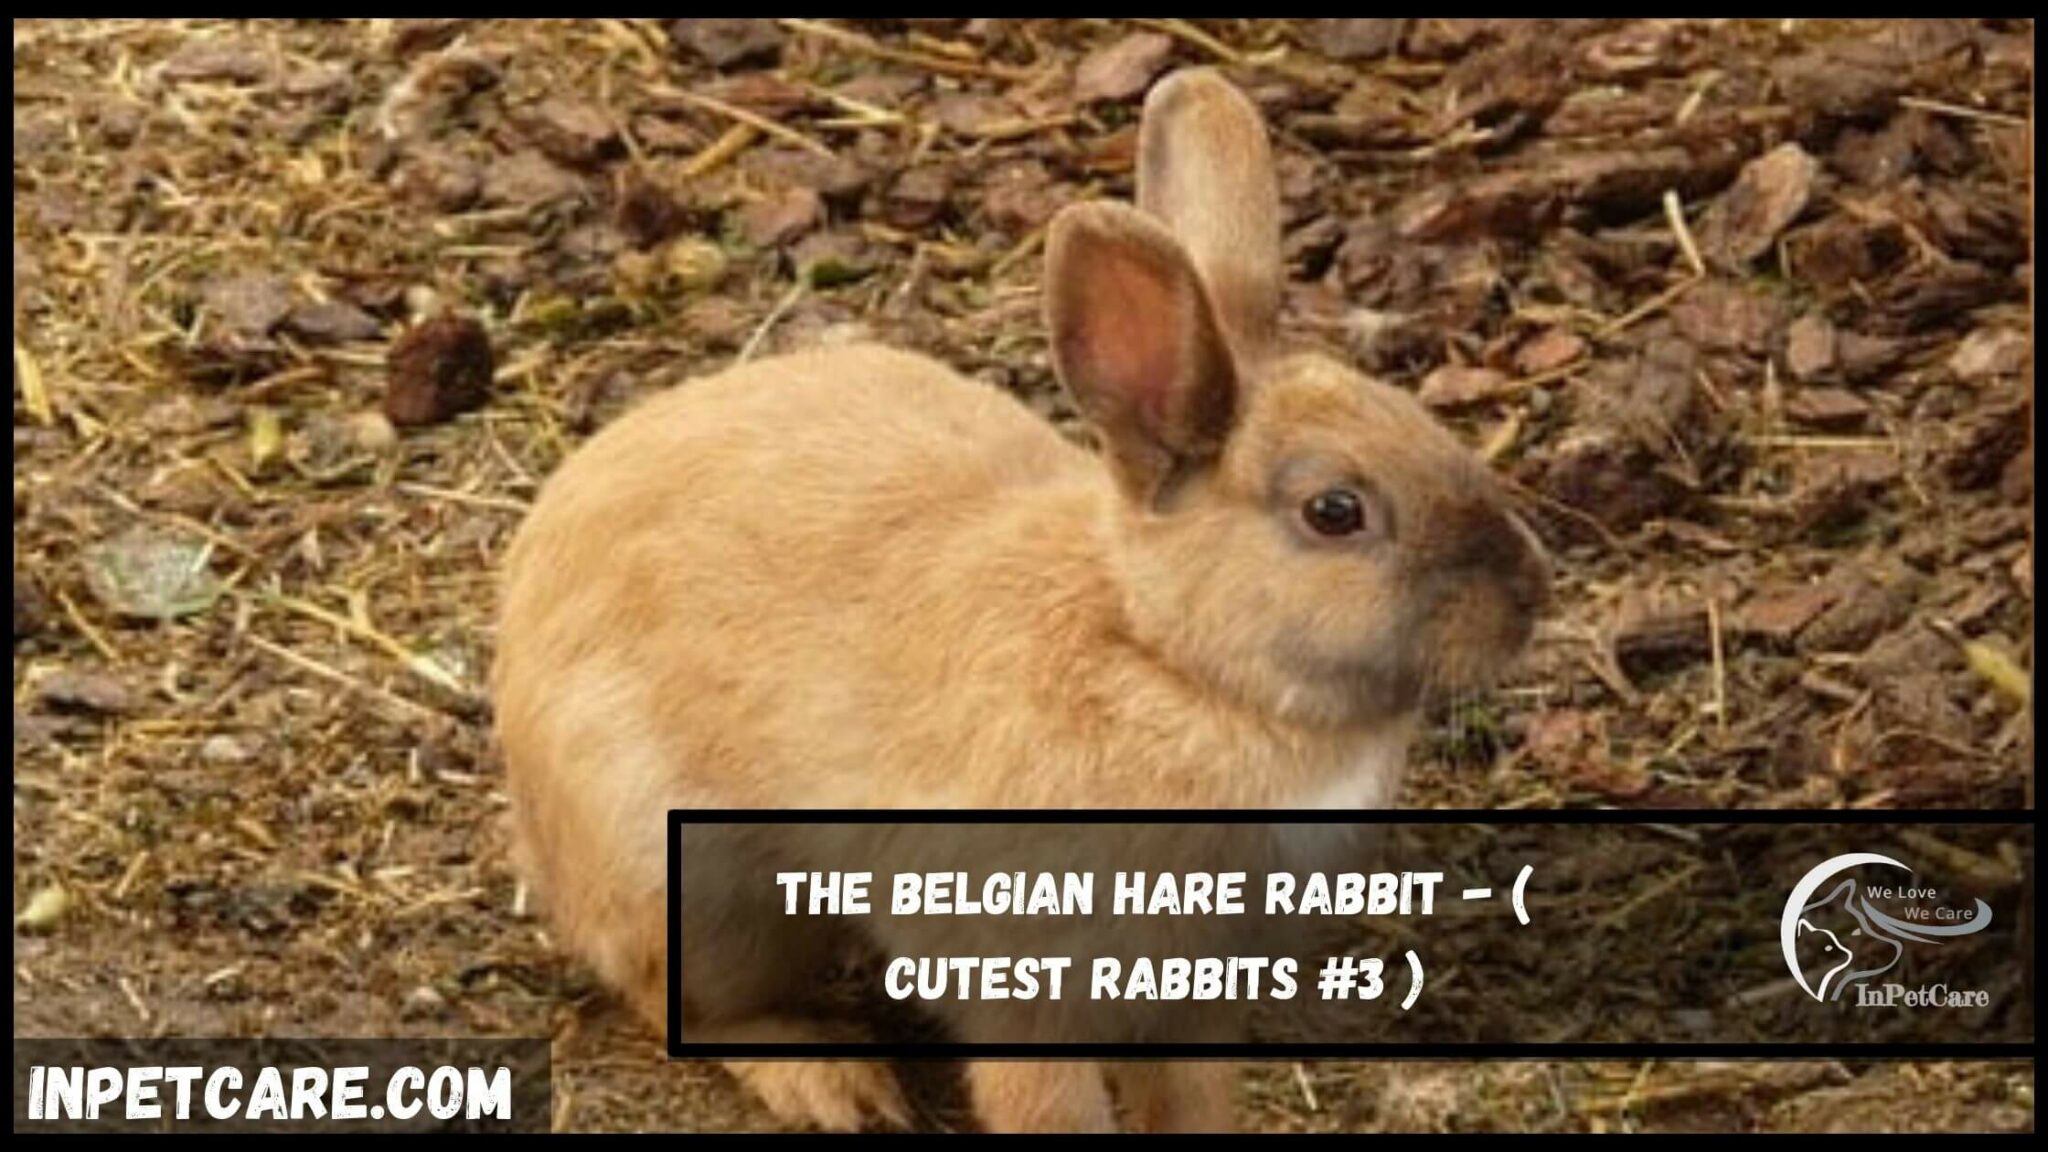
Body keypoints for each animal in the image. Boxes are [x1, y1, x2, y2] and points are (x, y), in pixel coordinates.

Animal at [492, 67, 1550, 1134]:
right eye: (1336, 511)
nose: (1529, 594)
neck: (1161, 657)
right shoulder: (1020, 977)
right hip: (692, 889)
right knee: (695, 1002)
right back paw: (838, 1083)